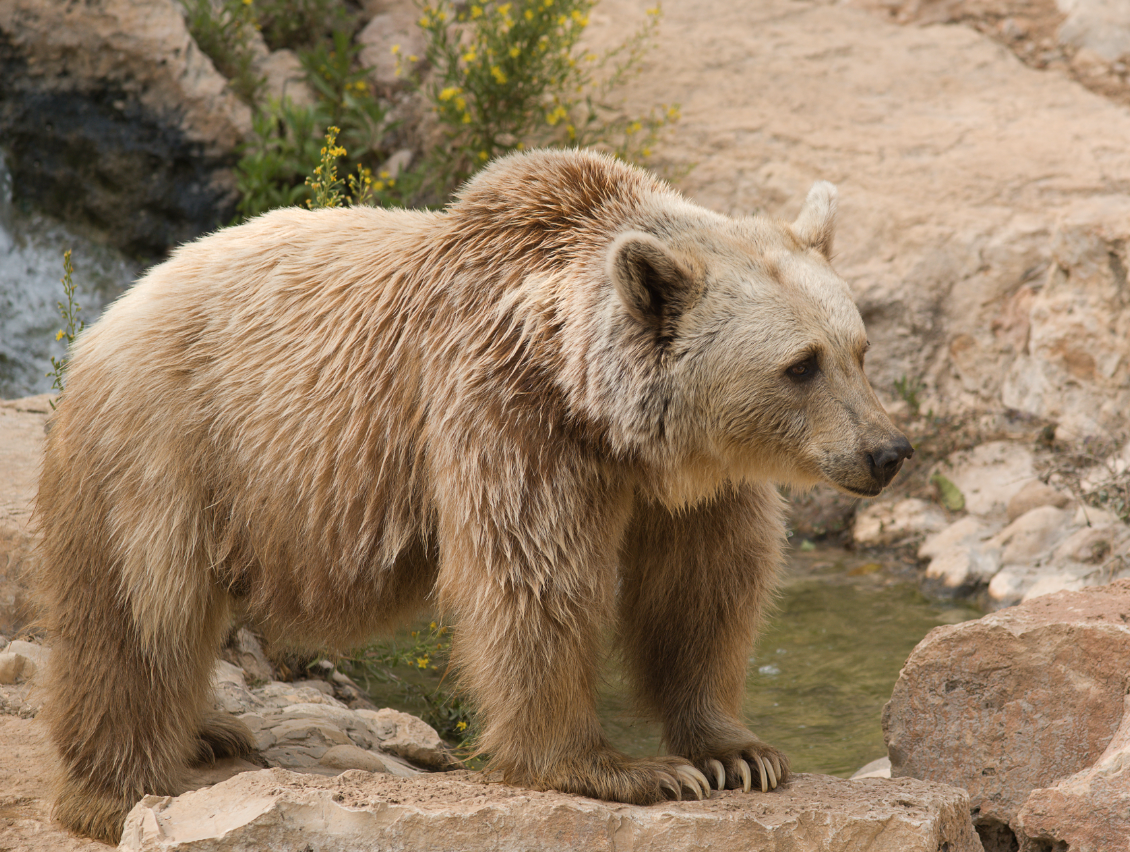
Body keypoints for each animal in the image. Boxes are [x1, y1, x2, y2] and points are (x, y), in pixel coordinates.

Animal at [35, 148, 912, 843]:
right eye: (800, 365)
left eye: (859, 348)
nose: (888, 451)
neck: (593, 402)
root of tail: (113, 311)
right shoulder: (504, 414)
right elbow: (533, 582)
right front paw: (627, 770)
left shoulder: (688, 487)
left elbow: (701, 590)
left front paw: (738, 753)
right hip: (167, 450)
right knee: (141, 615)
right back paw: (119, 789)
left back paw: (207, 732)